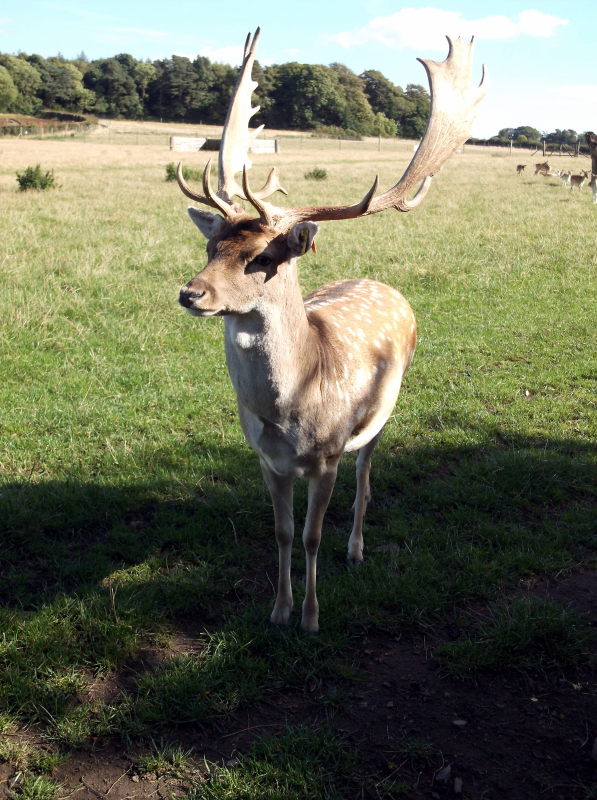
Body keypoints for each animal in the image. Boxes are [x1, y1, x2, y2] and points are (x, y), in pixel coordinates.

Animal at [176, 29, 486, 632]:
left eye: (261, 257)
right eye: (211, 246)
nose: (190, 293)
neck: (291, 412)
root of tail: (380, 282)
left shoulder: (326, 456)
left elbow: (313, 535)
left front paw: (312, 617)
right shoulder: (266, 460)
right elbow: (282, 533)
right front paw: (278, 610)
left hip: (383, 413)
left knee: (367, 478)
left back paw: (357, 548)